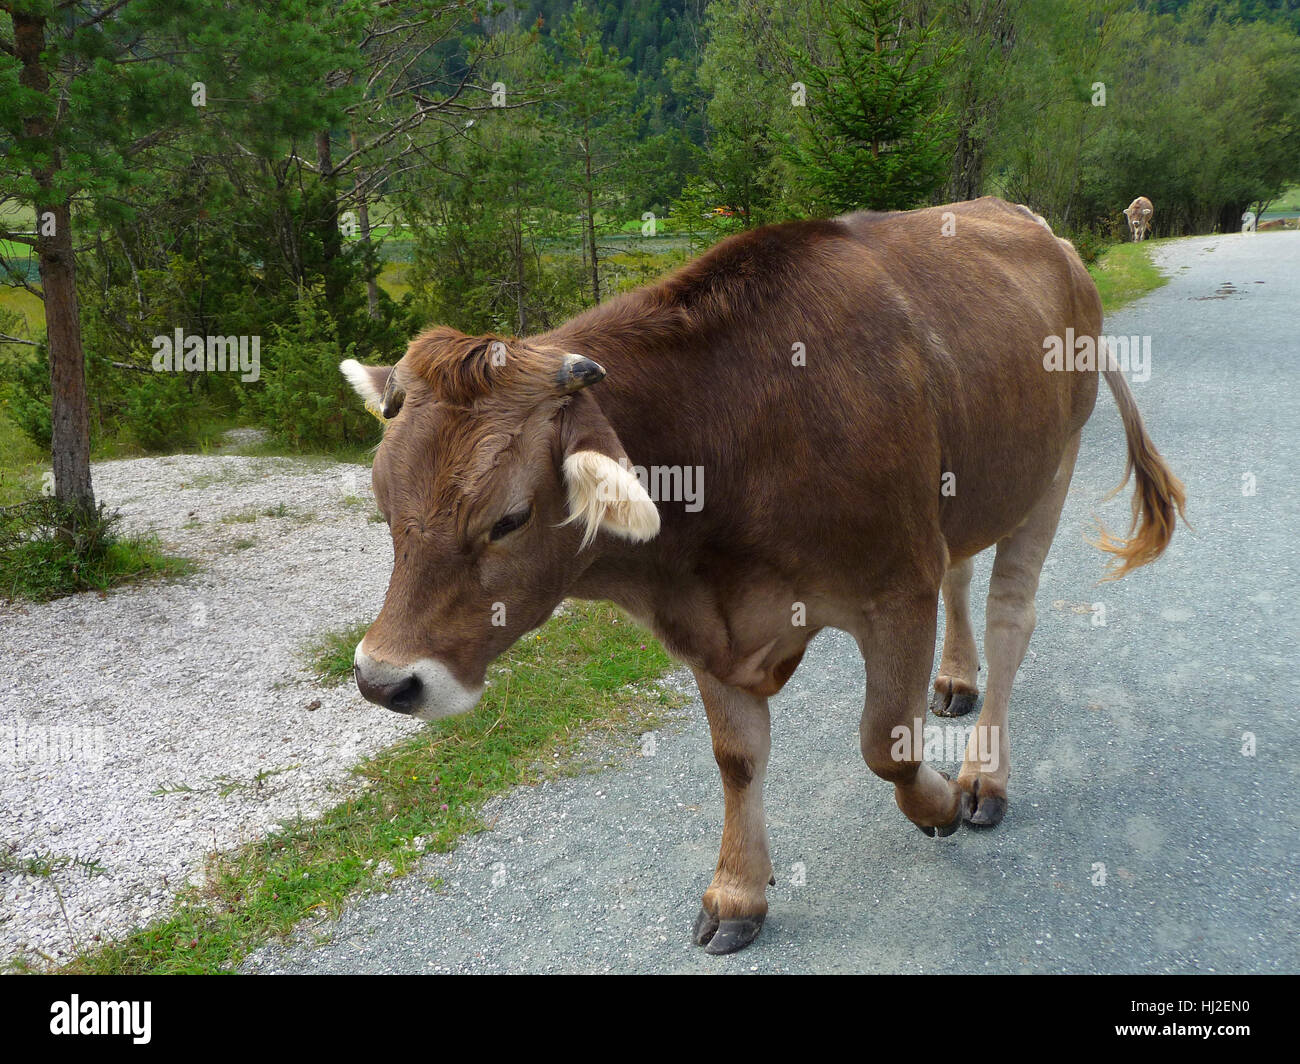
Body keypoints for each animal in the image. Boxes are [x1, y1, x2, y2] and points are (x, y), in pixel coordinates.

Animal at [339, 196, 1186, 955]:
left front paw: (938, 804)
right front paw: (738, 891)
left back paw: (983, 778)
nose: (384, 680)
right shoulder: (708, 627)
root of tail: (1042, 229)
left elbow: (886, 743)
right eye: (382, 499)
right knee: (963, 574)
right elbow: (737, 759)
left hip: (1052, 465)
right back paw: (954, 679)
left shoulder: (897, 591)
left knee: (1013, 614)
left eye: (509, 519)